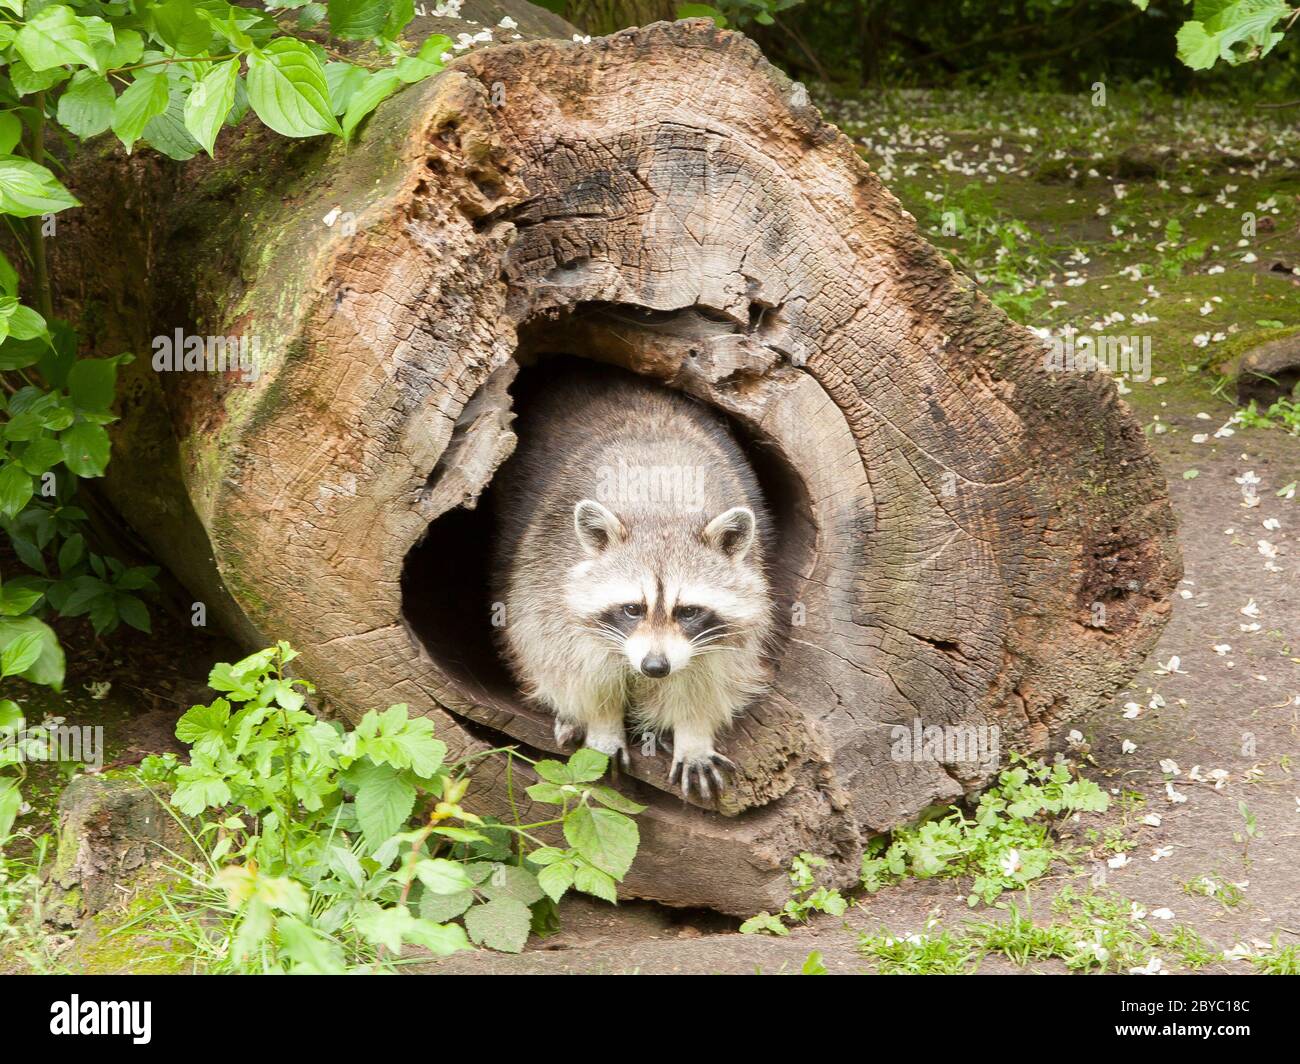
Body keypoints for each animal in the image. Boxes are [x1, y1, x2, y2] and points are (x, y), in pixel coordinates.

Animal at [491, 365, 774, 799]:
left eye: (688, 611)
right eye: (631, 609)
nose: (655, 667)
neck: (662, 511)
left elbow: (714, 674)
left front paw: (694, 732)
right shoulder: (545, 575)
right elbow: (566, 661)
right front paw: (601, 722)